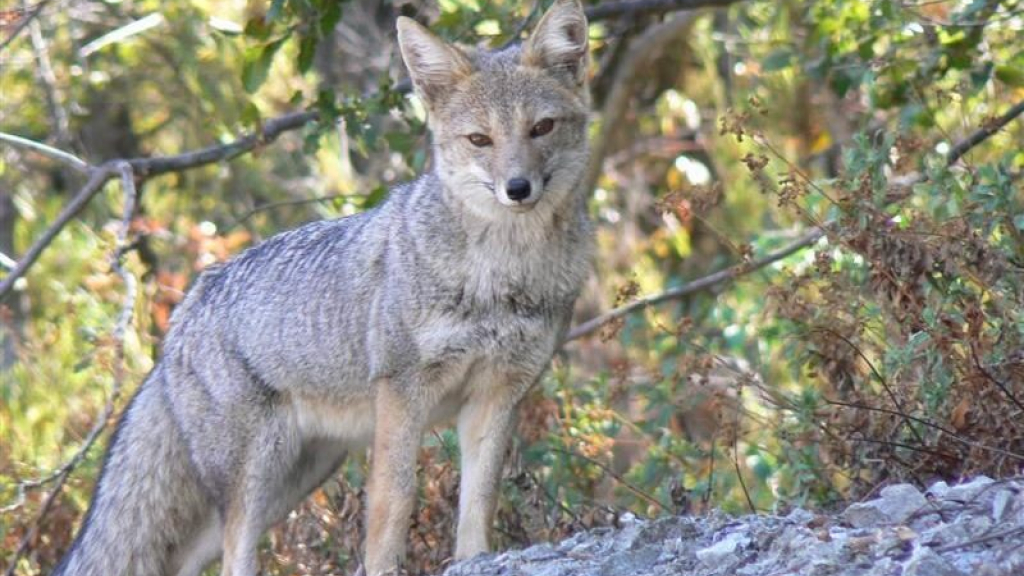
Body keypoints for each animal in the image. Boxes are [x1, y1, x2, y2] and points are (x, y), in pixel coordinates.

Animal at [52, 1, 593, 575]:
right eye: (479, 140)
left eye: (541, 128)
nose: (518, 188)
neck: (502, 276)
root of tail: (184, 312)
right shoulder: (403, 392)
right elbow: (393, 501)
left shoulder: (499, 394)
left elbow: (480, 498)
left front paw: (476, 559)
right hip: (257, 475)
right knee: (234, 553)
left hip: (297, 475)